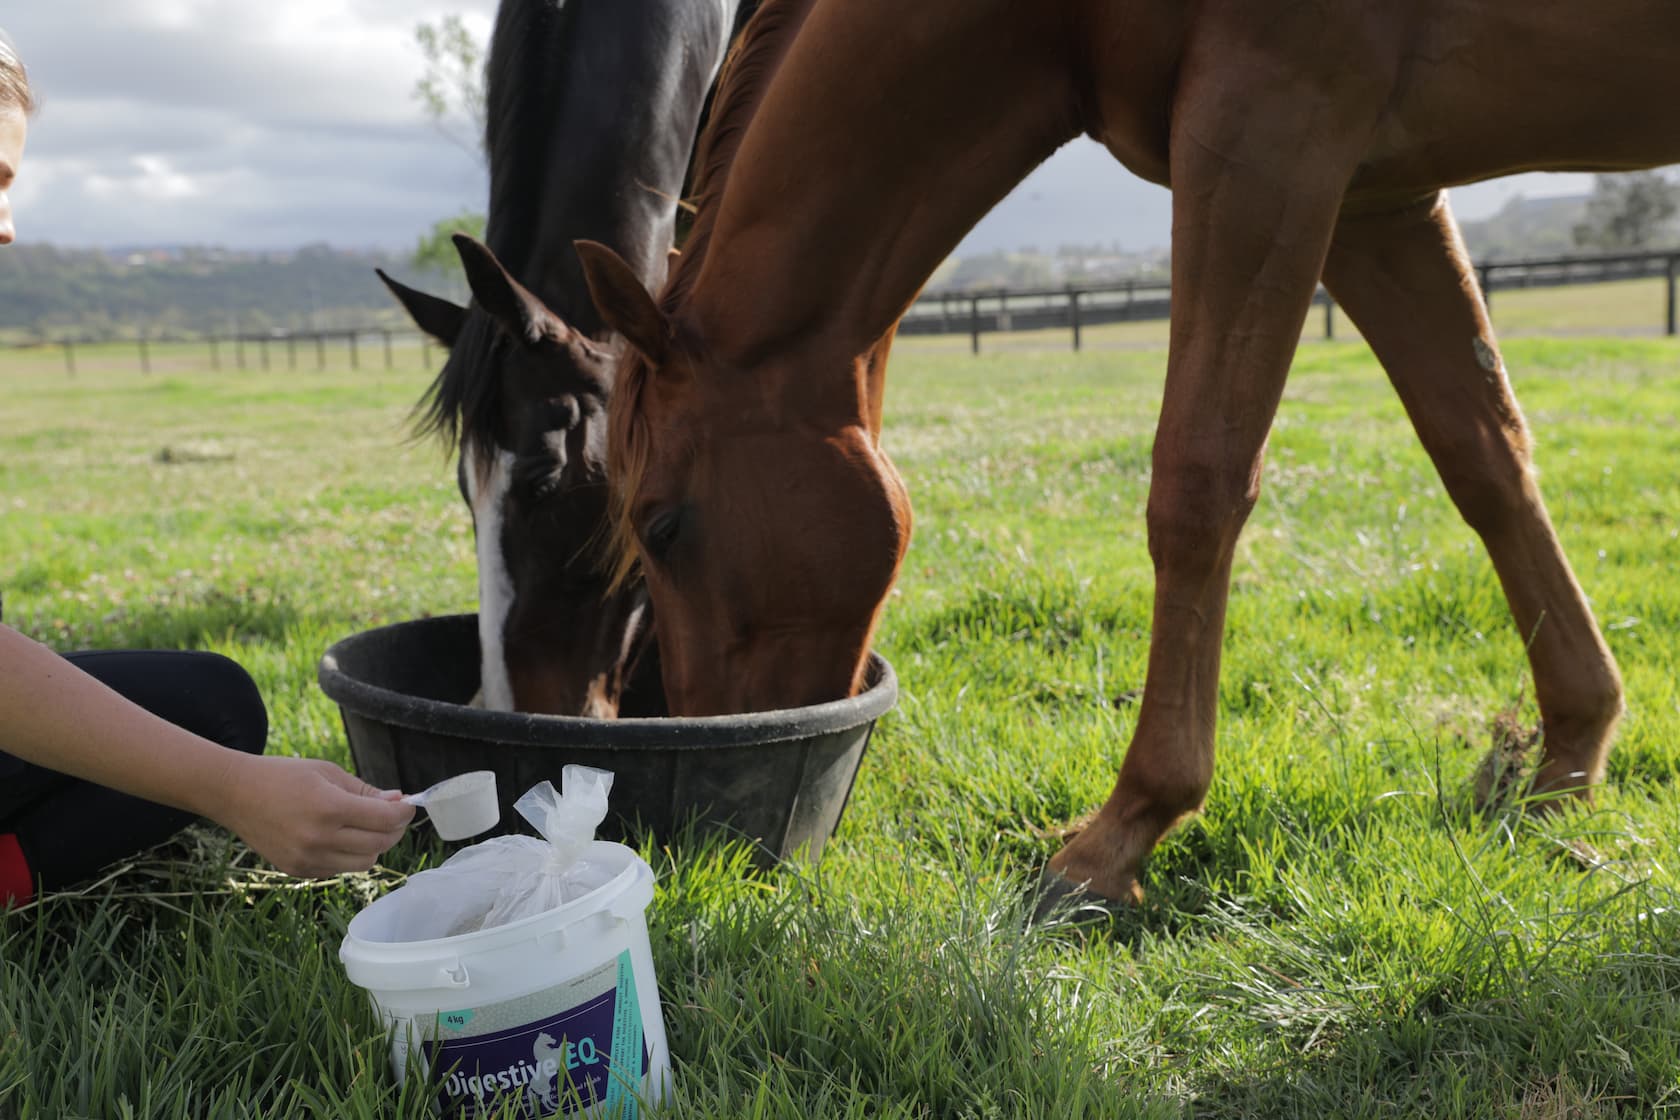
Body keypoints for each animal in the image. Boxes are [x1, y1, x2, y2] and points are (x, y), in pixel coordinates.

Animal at [576, 0, 1669, 905]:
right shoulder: (1377, 196)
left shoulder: (1269, 135)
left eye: (661, 525)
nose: (712, 824)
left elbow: (1198, 479)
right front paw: (1572, 750)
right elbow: (1484, 455)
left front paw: (1121, 831)